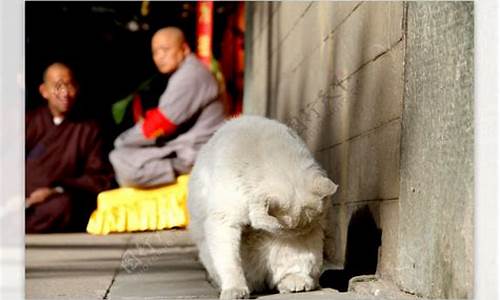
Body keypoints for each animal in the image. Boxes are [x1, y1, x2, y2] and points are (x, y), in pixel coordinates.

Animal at [188, 114, 340, 298]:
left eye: (300, 229)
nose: (297, 235)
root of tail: (263, 281)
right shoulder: (224, 218)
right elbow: (230, 261)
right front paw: (235, 290)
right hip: (208, 249)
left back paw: (295, 283)